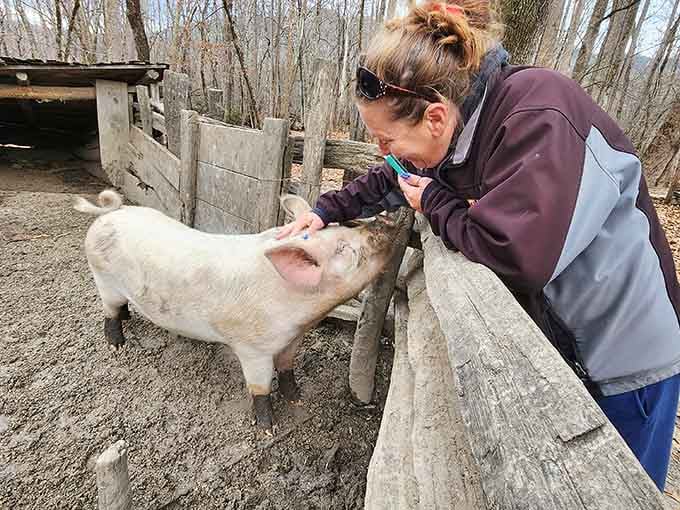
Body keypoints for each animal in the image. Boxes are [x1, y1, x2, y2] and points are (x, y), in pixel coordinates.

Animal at [74, 190, 402, 430]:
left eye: (348, 225)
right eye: (344, 249)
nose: (384, 220)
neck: (301, 315)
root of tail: (110, 214)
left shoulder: (291, 341)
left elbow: (287, 369)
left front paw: (297, 399)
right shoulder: (252, 348)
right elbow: (260, 386)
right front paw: (268, 428)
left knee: (122, 308)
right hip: (103, 280)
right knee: (109, 313)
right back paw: (117, 345)